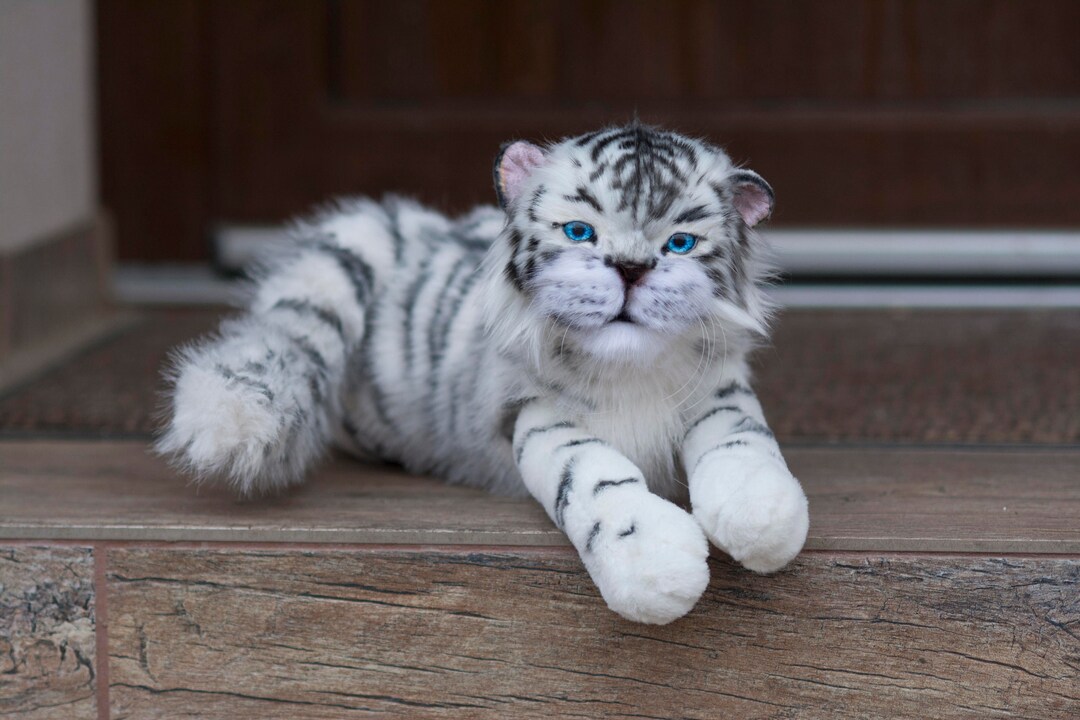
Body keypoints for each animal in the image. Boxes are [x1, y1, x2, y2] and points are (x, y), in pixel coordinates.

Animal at [158, 122, 809, 624]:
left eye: (680, 243)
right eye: (580, 232)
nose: (629, 268)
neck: (630, 370)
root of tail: (421, 229)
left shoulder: (719, 388)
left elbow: (742, 441)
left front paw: (764, 519)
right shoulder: (539, 417)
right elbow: (595, 476)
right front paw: (657, 567)